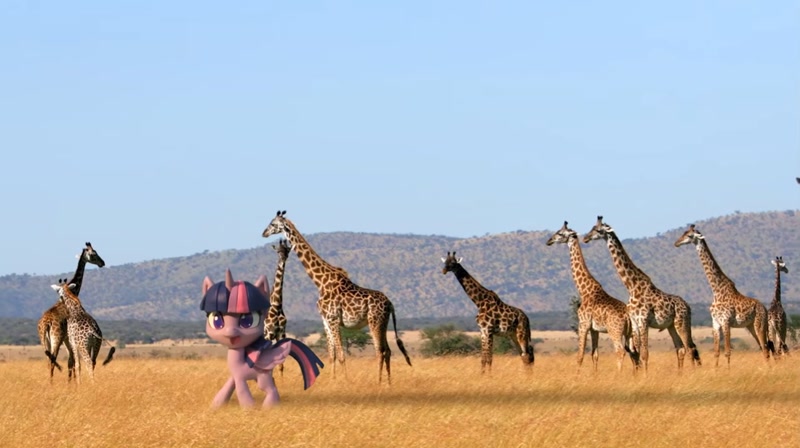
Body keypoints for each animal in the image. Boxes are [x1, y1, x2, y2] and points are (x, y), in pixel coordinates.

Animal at [37, 242, 105, 382]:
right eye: (93, 254)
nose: (102, 263)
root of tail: (46, 323)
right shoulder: (68, 339)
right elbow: (72, 361)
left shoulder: (67, 340)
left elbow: (71, 361)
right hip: (56, 339)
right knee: (53, 360)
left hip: (44, 340)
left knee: (48, 361)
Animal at [261, 210, 412, 384]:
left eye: (272, 223)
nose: (264, 233)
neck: (320, 282)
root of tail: (390, 303)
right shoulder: (326, 320)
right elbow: (331, 355)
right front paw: (332, 380)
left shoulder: (333, 319)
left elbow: (341, 355)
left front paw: (345, 381)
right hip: (383, 323)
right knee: (388, 351)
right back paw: (389, 383)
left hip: (375, 321)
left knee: (380, 351)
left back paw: (379, 382)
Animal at [546, 221, 639, 371]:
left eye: (560, 233)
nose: (549, 241)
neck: (584, 290)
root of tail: (628, 316)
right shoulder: (595, 329)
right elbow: (594, 355)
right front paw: (594, 375)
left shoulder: (583, 324)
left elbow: (580, 356)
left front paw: (576, 375)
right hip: (630, 333)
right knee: (634, 354)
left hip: (615, 331)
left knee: (620, 351)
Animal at [584, 216, 700, 371]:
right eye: (591, 228)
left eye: (597, 230)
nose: (585, 238)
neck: (632, 286)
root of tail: (688, 307)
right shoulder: (634, 322)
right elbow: (637, 352)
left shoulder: (643, 320)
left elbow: (645, 354)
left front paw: (645, 375)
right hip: (671, 326)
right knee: (681, 348)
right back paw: (680, 374)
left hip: (682, 323)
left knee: (690, 348)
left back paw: (692, 373)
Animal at [674, 224, 771, 365]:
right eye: (683, 232)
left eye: (689, 235)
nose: (676, 243)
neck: (716, 290)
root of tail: (765, 309)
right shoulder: (715, 323)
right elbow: (716, 352)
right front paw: (715, 369)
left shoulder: (726, 321)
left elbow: (727, 352)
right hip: (750, 326)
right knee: (763, 347)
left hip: (760, 324)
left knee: (765, 348)